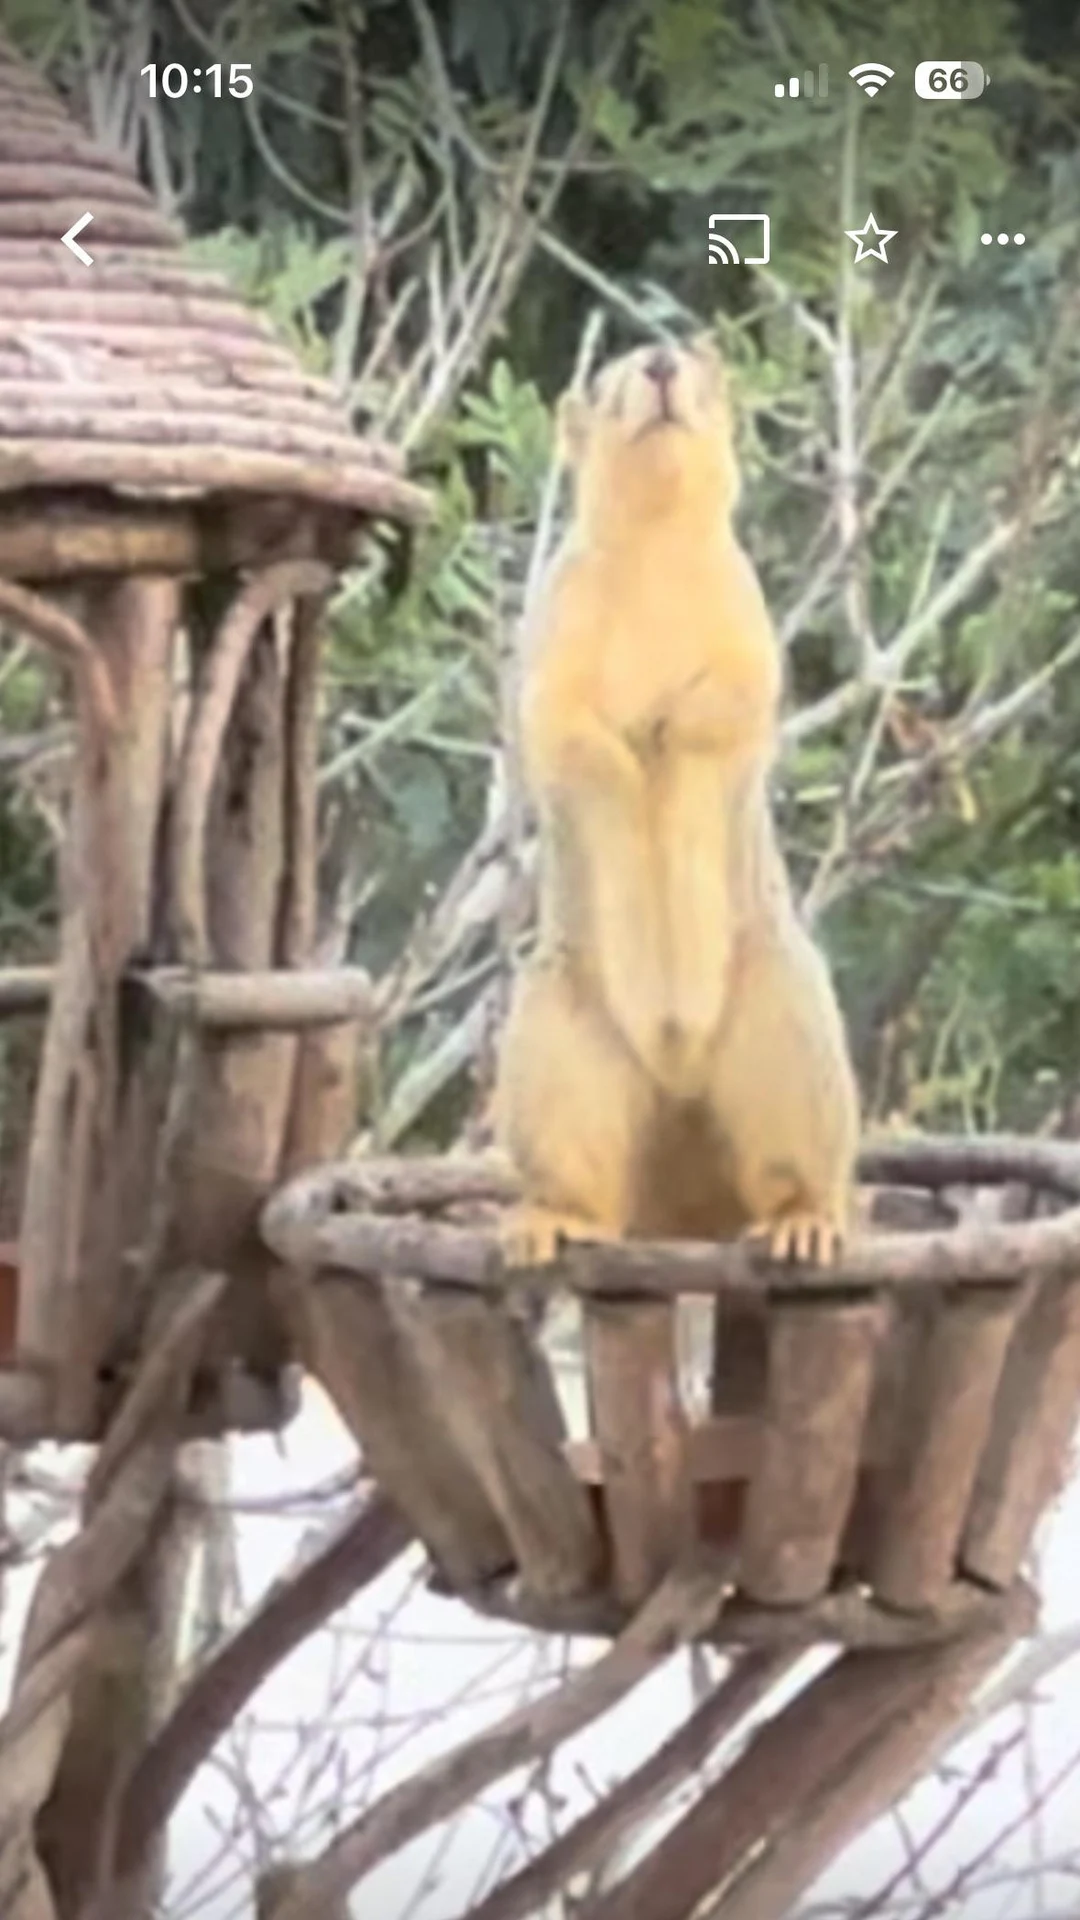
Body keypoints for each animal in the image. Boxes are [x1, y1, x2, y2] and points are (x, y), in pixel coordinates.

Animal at [494, 336, 859, 1273]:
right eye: (606, 380)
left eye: (697, 359)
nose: (660, 360)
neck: (656, 544)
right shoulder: (552, 637)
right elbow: (561, 731)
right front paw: (629, 765)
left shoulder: (746, 620)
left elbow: (736, 701)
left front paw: (667, 734)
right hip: (563, 1049)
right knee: (586, 1180)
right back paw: (553, 1221)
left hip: (786, 1032)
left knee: (794, 1166)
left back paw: (804, 1221)